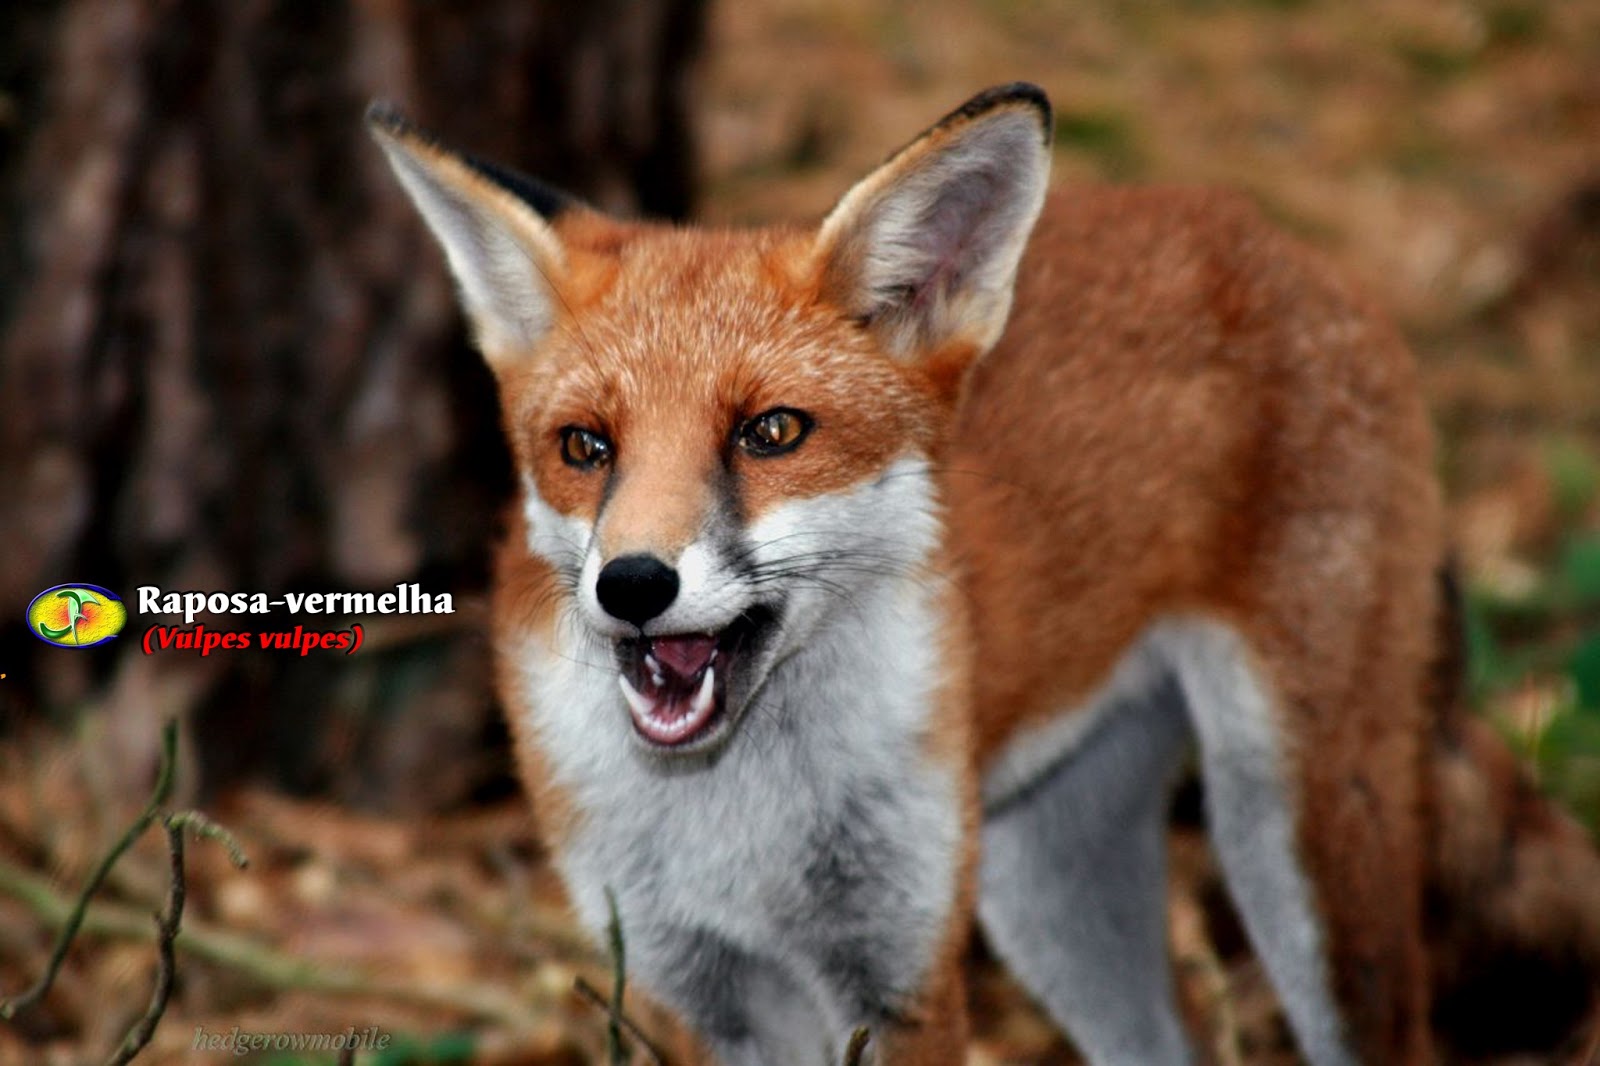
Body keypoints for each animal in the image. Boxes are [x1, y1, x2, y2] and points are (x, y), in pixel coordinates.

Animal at [369, 84, 1600, 1065]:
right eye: (584, 447)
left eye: (772, 432)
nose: (631, 584)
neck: (740, 827)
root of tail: (1271, 233)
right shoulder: (708, 987)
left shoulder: (901, 975)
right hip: (1048, 887)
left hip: (1296, 847)